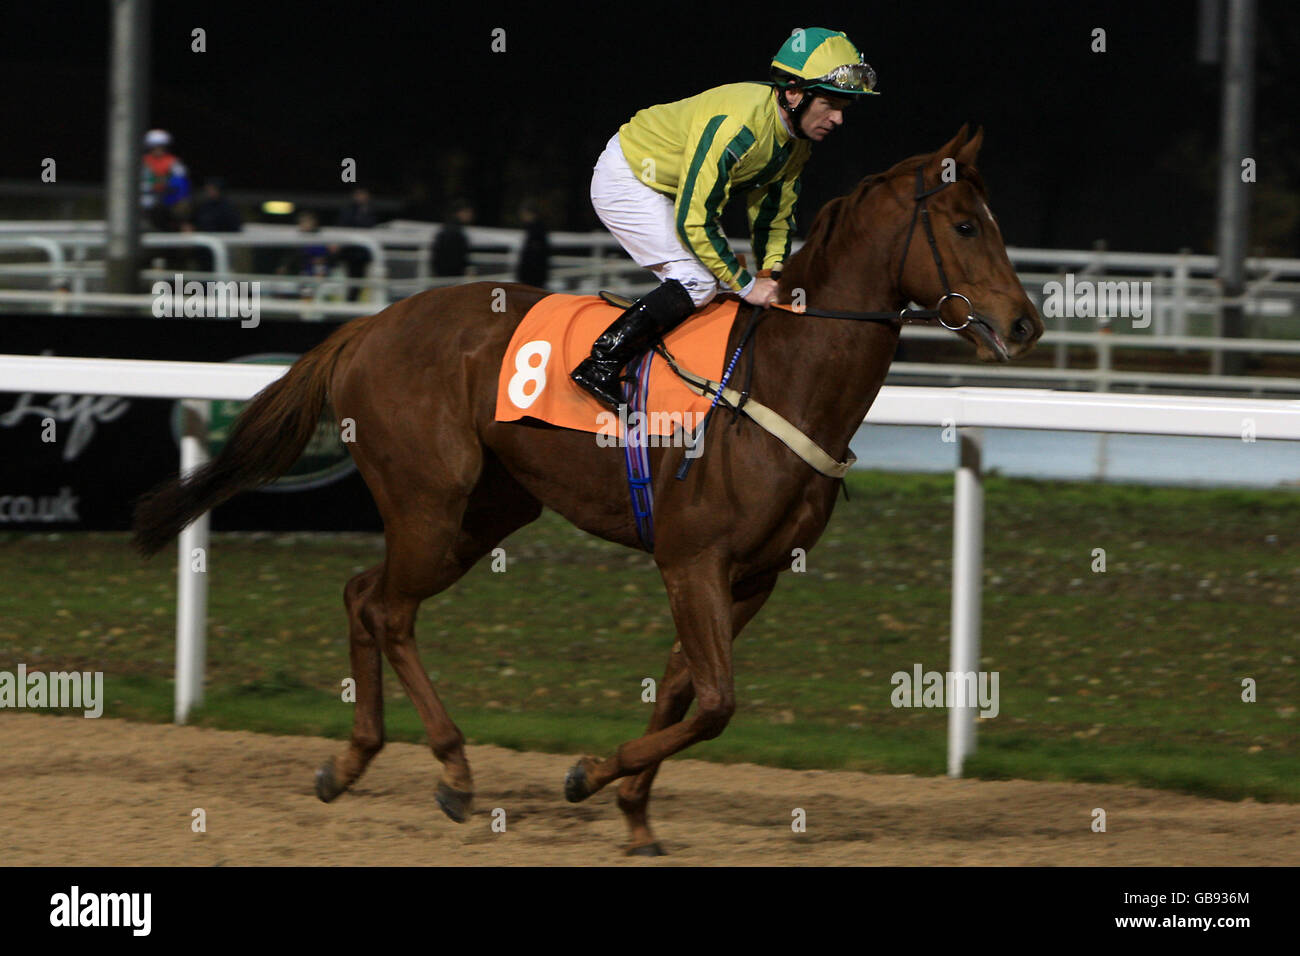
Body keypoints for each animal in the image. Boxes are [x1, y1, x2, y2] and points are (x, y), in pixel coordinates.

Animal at [133, 124, 1043, 856]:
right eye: (966, 224)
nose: (1026, 323)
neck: (784, 374)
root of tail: (369, 327)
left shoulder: (752, 575)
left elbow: (682, 689)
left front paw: (635, 816)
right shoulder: (691, 559)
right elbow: (716, 701)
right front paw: (588, 776)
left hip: (488, 511)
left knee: (364, 594)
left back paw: (353, 761)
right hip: (430, 502)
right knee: (388, 608)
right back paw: (453, 770)